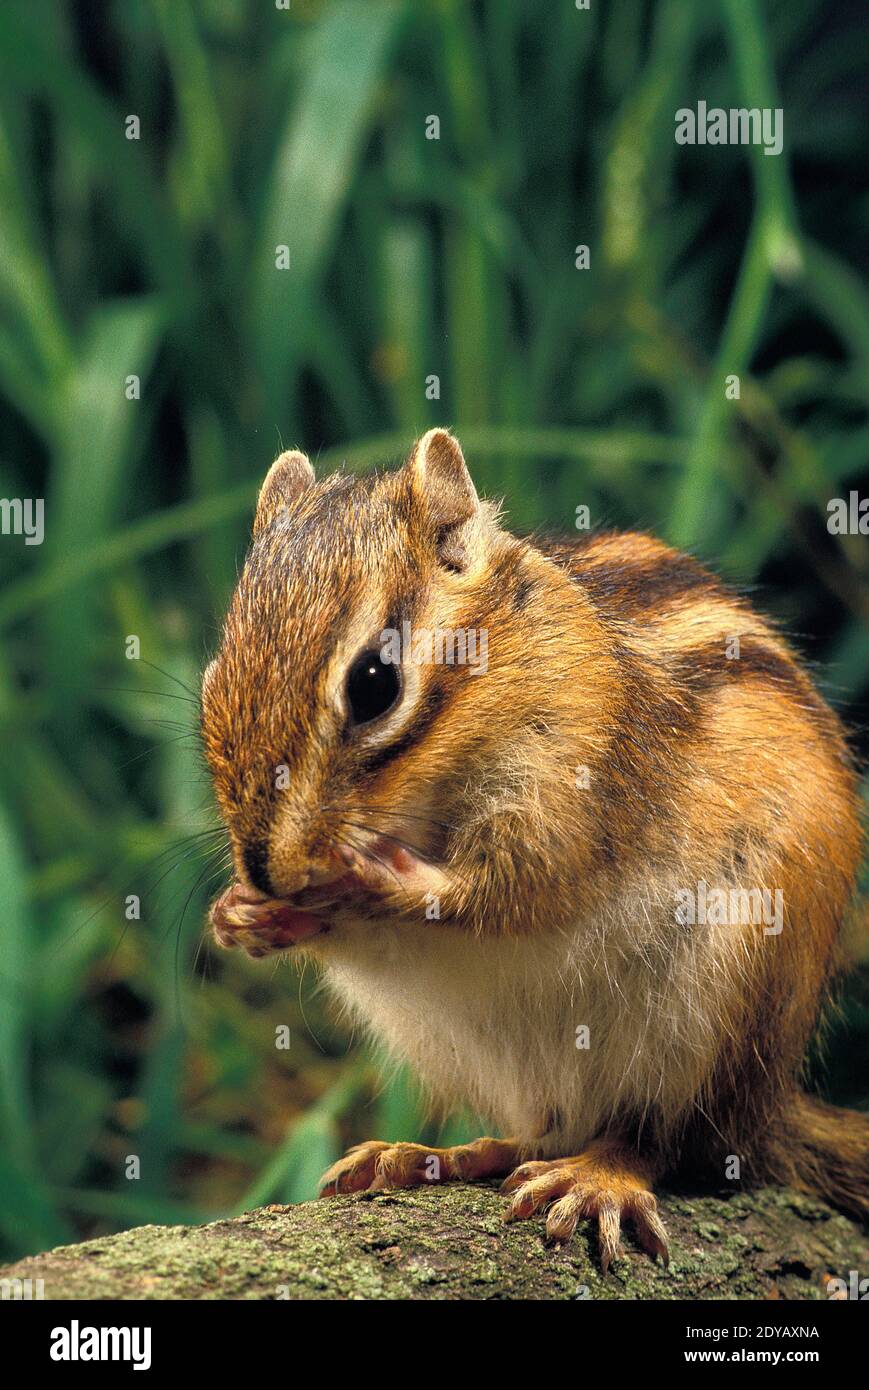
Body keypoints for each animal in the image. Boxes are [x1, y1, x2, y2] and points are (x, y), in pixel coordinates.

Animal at [202, 428, 869, 1270]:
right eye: (213, 676)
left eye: (374, 684)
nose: (268, 870)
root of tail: (771, 1104)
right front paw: (244, 917)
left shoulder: (579, 783)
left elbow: (520, 888)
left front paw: (379, 880)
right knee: (540, 1131)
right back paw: (433, 1157)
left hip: (723, 1006)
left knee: (665, 1138)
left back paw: (598, 1177)